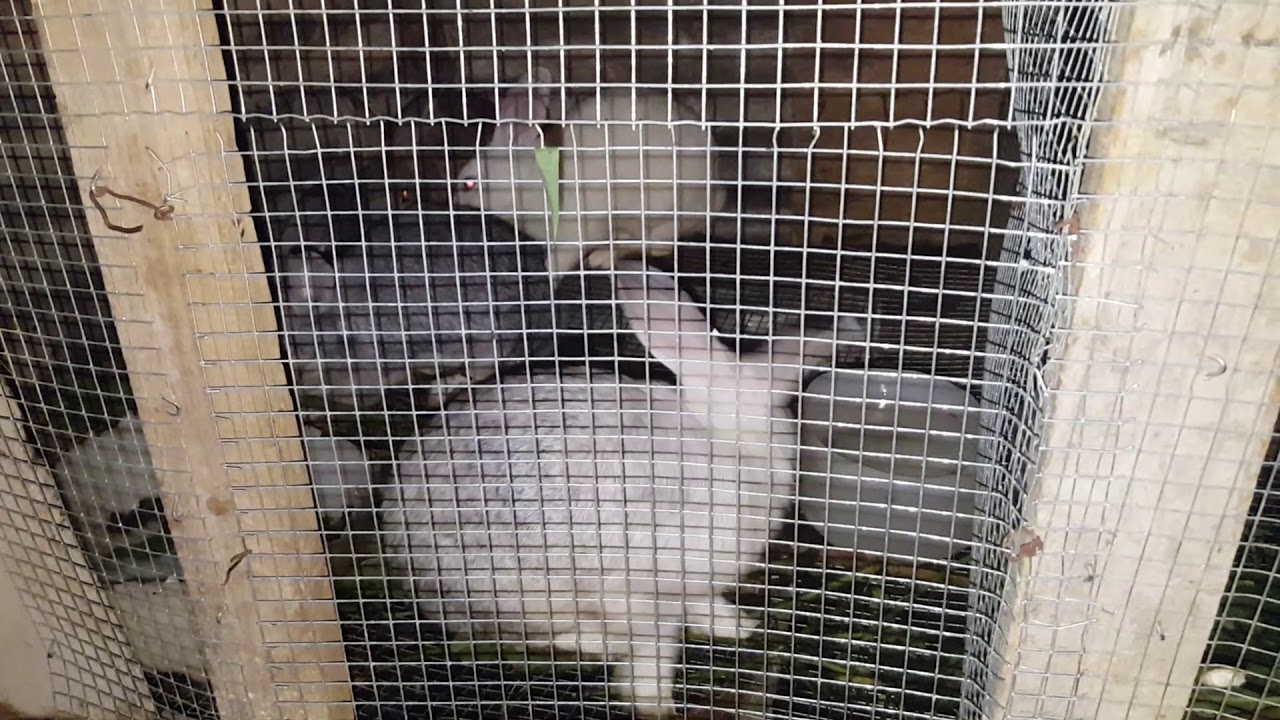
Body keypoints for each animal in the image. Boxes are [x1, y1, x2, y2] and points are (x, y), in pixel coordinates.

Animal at [380, 259, 859, 716]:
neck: (719, 443)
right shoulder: (643, 591)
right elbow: (655, 650)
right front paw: (653, 705)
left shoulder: (695, 586)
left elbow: (706, 607)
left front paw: (740, 627)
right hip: (518, 593)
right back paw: (596, 643)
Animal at [452, 64, 726, 281]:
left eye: (468, 184)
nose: (454, 203)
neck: (531, 180)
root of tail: (717, 196)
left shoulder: (575, 228)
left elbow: (561, 258)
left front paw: (551, 276)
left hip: (658, 213)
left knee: (656, 246)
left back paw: (601, 258)